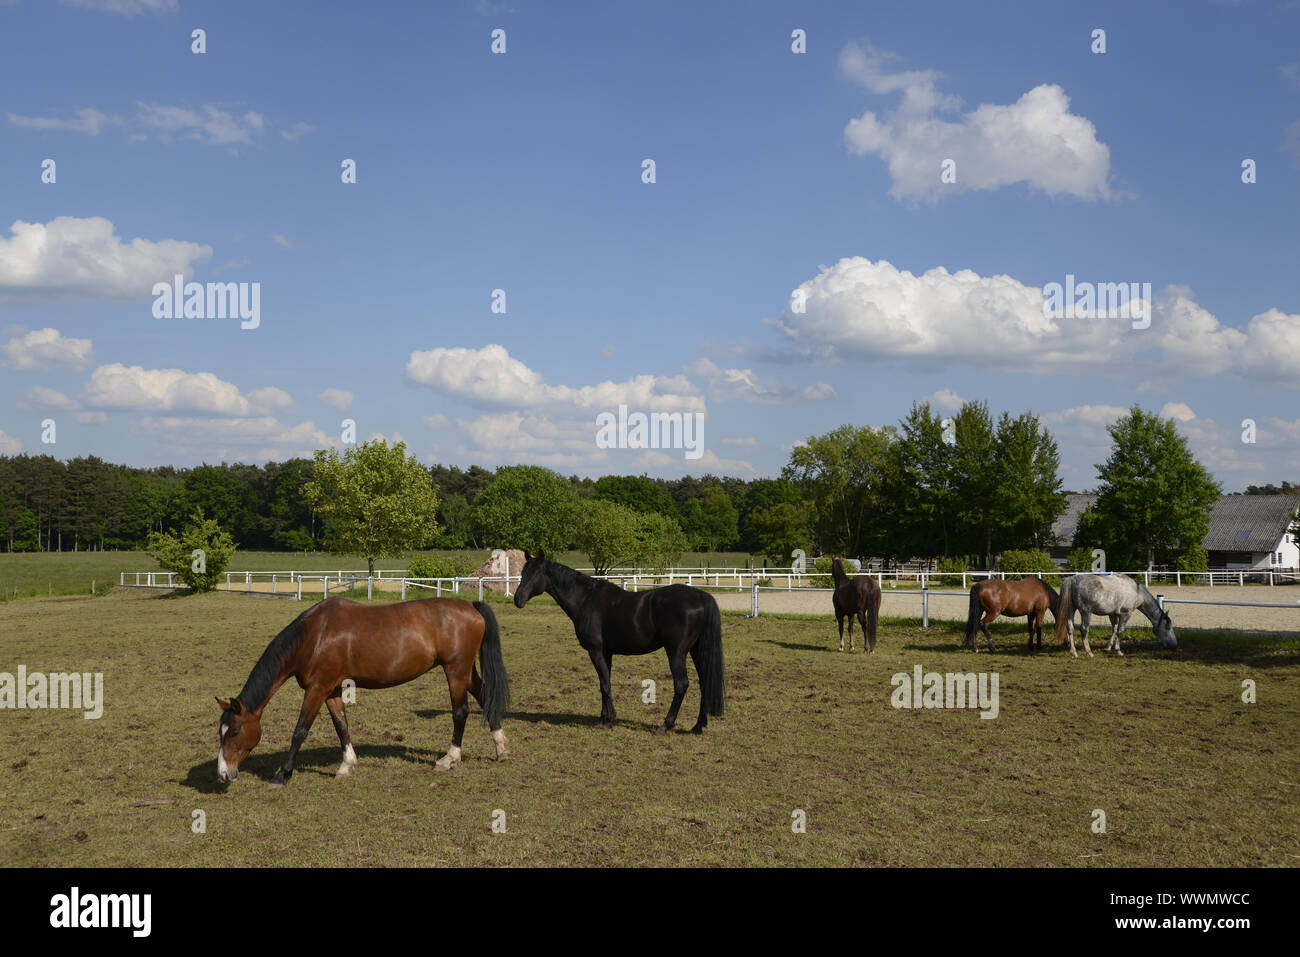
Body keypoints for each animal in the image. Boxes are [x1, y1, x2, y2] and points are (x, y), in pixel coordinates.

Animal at [215, 596, 510, 788]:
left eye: (234, 732)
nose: (223, 773)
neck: (314, 636)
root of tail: (470, 605)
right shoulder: (331, 690)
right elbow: (341, 726)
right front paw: (347, 765)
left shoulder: (316, 689)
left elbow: (300, 731)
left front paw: (283, 775)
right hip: (465, 671)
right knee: (486, 698)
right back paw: (501, 748)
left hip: (455, 671)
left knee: (460, 712)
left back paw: (450, 759)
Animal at [513, 550, 724, 734]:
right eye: (522, 572)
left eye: (535, 572)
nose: (517, 599)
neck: (586, 599)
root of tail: (700, 596)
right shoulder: (606, 653)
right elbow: (604, 683)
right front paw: (602, 718)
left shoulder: (595, 651)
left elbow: (605, 684)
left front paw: (610, 720)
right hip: (696, 651)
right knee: (704, 682)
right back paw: (697, 726)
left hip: (676, 652)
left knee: (681, 684)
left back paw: (665, 725)